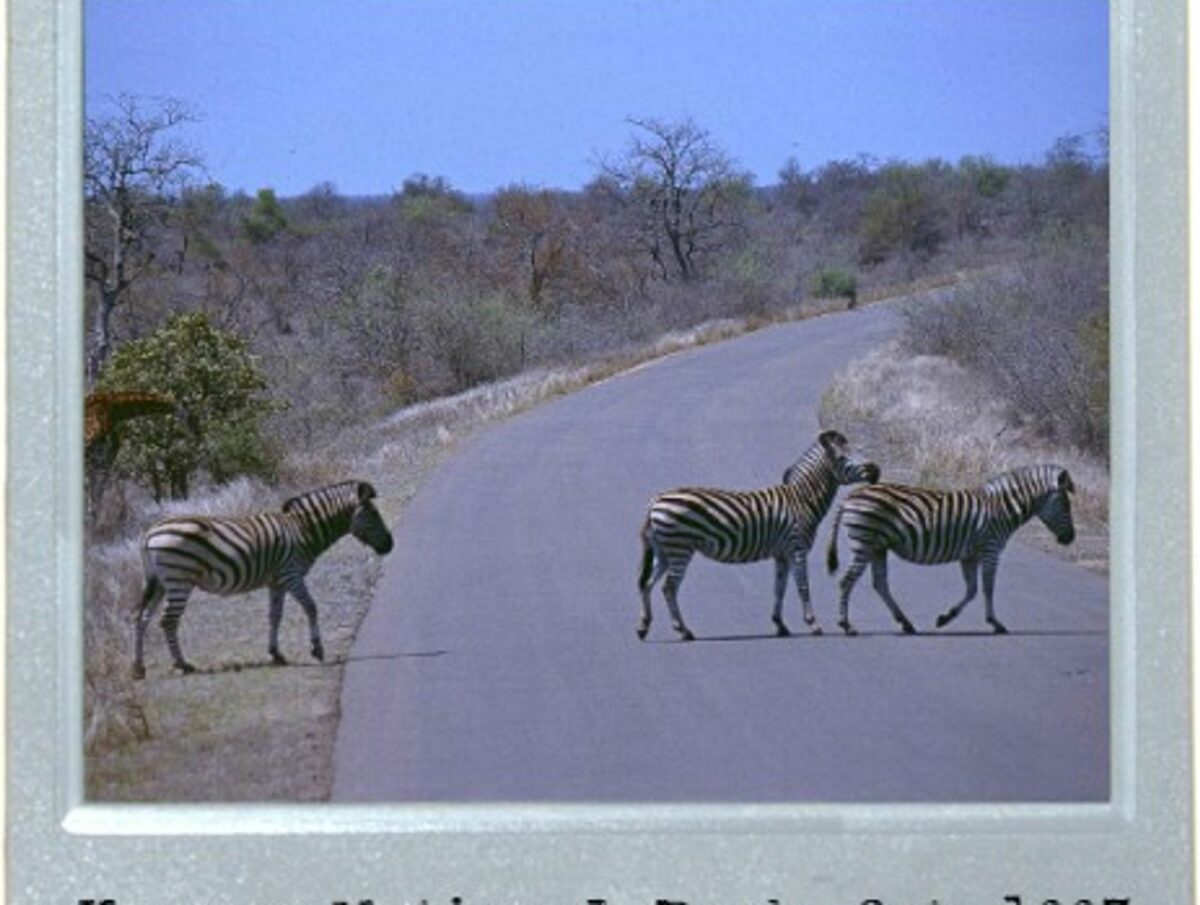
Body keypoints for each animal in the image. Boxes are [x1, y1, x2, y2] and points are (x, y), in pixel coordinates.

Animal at [132, 480, 394, 678]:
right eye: (373, 514)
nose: (390, 545)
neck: (302, 530)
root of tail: (149, 532)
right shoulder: (291, 574)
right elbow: (311, 607)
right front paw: (316, 649)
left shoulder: (277, 581)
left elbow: (275, 616)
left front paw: (276, 653)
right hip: (179, 580)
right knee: (167, 621)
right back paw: (182, 664)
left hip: (159, 583)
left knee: (142, 618)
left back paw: (139, 669)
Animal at [637, 430, 880, 641]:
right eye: (842, 457)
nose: (876, 470)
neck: (802, 500)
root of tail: (654, 501)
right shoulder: (797, 548)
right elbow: (803, 587)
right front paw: (813, 624)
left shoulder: (782, 554)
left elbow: (779, 589)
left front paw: (780, 624)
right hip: (680, 548)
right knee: (668, 588)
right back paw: (683, 630)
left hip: (664, 550)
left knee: (647, 584)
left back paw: (643, 627)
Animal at [825, 465, 1076, 636]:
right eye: (1065, 505)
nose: (1070, 538)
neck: (1001, 508)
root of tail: (850, 496)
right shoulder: (990, 548)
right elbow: (987, 587)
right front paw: (995, 623)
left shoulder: (969, 555)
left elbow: (972, 590)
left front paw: (945, 618)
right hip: (864, 542)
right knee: (847, 581)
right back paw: (846, 625)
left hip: (878, 546)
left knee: (879, 583)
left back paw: (905, 622)